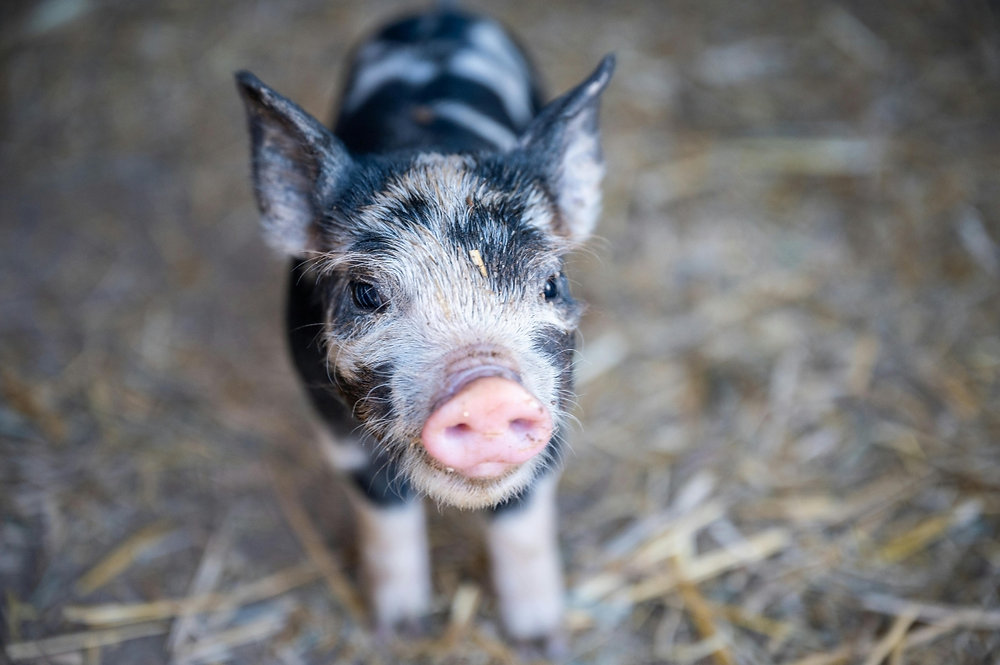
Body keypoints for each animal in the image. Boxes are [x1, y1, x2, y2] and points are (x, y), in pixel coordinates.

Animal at [235, 6, 613, 649]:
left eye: (550, 283)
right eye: (366, 294)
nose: (487, 391)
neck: (431, 152)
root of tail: (436, 11)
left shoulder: (560, 404)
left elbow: (523, 517)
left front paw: (541, 640)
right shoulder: (334, 428)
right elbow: (385, 515)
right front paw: (399, 632)